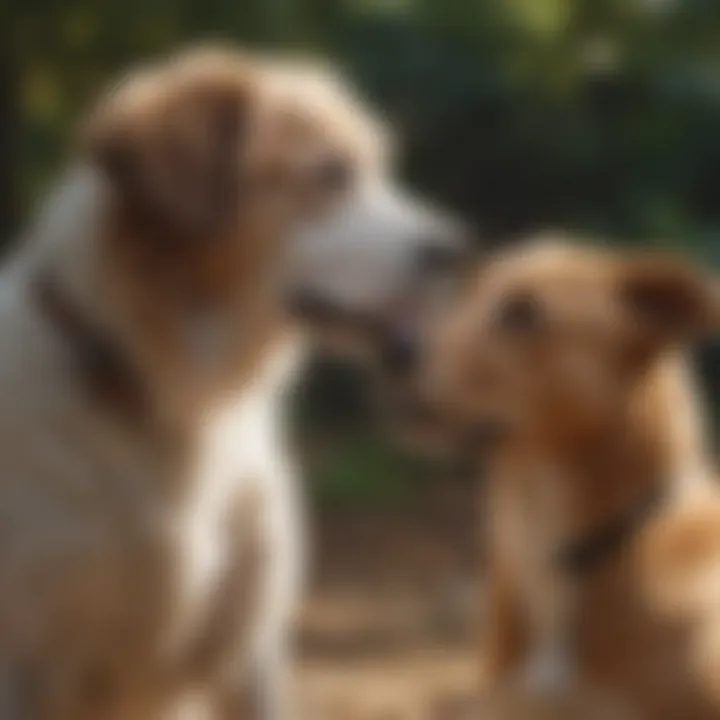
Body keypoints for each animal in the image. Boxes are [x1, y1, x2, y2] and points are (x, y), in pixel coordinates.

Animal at [0, 47, 464, 716]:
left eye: (378, 169)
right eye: (330, 174)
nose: (457, 250)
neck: (173, 400)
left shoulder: (249, 651)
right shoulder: (25, 665)